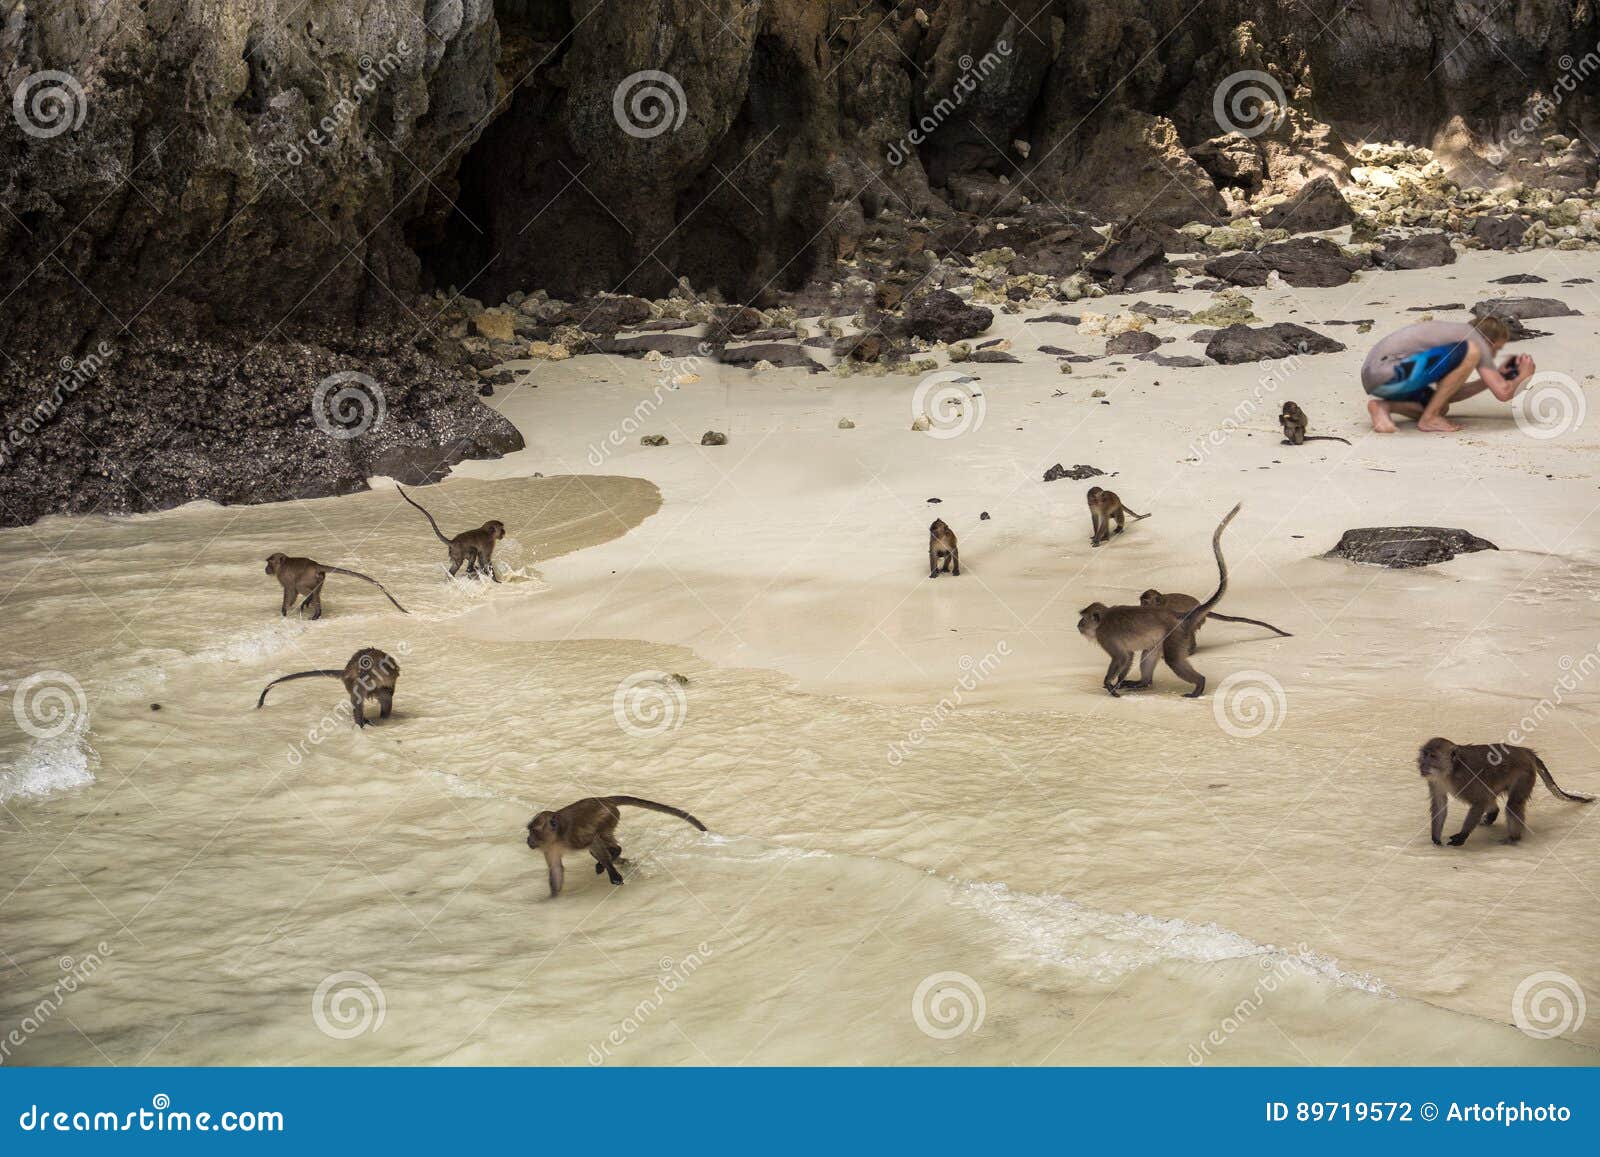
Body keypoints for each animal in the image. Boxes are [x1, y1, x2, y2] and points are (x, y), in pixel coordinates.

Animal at [256, 647, 400, 728]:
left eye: (367, 665)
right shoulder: (359, 682)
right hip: (351, 682)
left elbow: (387, 693)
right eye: (363, 666)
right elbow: (357, 699)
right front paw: (360, 724)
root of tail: (345, 671)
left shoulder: (388, 678)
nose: (362, 676)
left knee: (385, 697)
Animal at [264, 553, 408, 619]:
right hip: (320, 578)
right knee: (316, 593)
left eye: (269, 562)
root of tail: (316, 566)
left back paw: (312, 608)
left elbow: (290, 591)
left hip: (307, 578)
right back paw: (317, 613)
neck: (282, 564)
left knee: (301, 587)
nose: (266, 569)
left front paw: (284, 610)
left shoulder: (283, 577)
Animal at [525, 796, 708, 896]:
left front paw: (613, 873)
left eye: (533, 831)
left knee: (601, 839)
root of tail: (605, 798)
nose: (528, 840)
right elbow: (556, 869)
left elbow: (593, 841)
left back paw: (612, 857)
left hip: (609, 816)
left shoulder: (573, 836)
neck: (558, 836)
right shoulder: (549, 847)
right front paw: (552, 899)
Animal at [1077, 503, 1240, 697]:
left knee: (1173, 660)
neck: (1103, 619)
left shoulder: (1105, 635)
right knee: (1150, 652)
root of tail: (1177, 615)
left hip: (1175, 635)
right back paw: (1143, 682)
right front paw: (1118, 683)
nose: (1078, 625)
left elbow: (1121, 657)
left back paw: (1199, 684)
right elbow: (1128, 656)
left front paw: (1109, 683)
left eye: (1083, 619)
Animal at [1417, 737, 1593, 847]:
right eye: (1424, 755)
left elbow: (1479, 801)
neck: (1449, 771)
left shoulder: (1466, 778)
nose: (1422, 765)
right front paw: (1436, 838)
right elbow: (1440, 804)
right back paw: (1493, 814)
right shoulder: (1435, 781)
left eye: (1432, 756)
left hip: (1524, 774)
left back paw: (1514, 838)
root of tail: (1524, 751)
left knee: (1513, 804)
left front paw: (1463, 835)